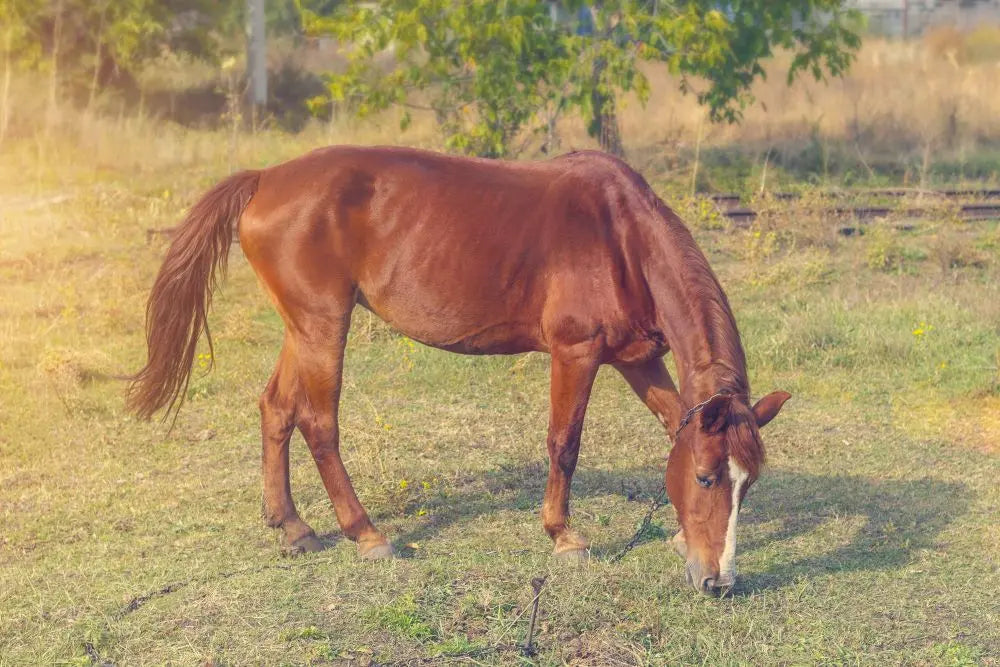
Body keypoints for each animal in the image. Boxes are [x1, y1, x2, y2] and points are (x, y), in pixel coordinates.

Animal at [128, 145, 790, 594]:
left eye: (747, 484)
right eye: (707, 478)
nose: (718, 582)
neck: (622, 236)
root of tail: (265, 179)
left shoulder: (636, 358)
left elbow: (673, 423)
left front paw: (676, 534)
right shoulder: (576, 354)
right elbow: (565, 444)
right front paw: (563, 536)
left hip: (304, 327)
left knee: (276, 408)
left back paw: (292, 526)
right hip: (322, 326)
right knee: (318, 424)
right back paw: (366, 534)